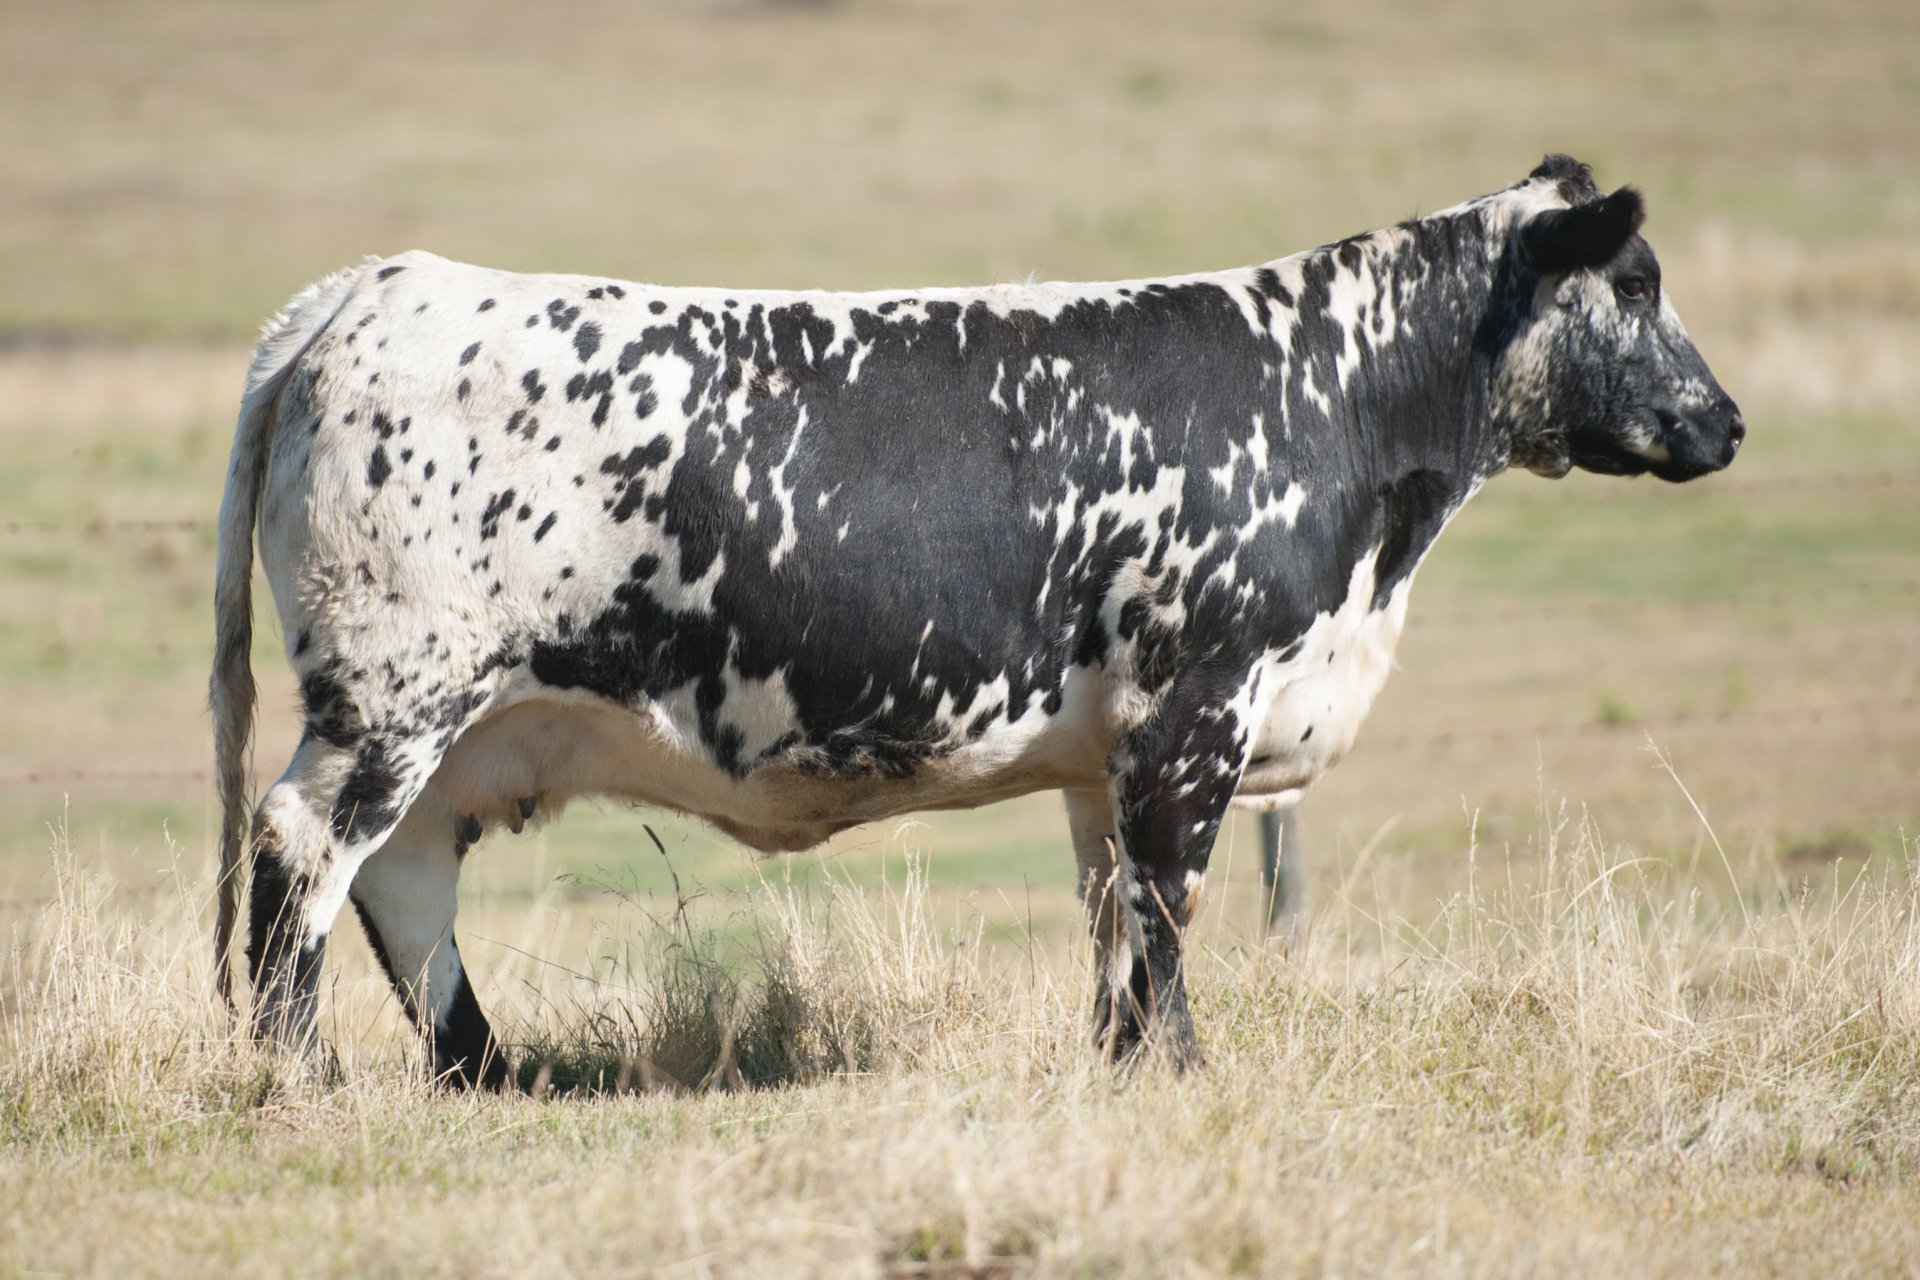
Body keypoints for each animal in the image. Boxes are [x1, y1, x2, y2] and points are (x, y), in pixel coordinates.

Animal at [211, 155, 1742, 1087]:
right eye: (1641, 283)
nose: (1726, 421)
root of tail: (381, 284)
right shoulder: (1199, 702)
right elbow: (1168, 901)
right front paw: (1188, 1073)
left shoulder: (1110, 744)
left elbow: (1112, 912)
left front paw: (1123, 1068)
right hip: (391, 701)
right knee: (302, 852)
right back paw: (300, 1076)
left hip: (458, 725)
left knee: (406, 884)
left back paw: (487, 1072)